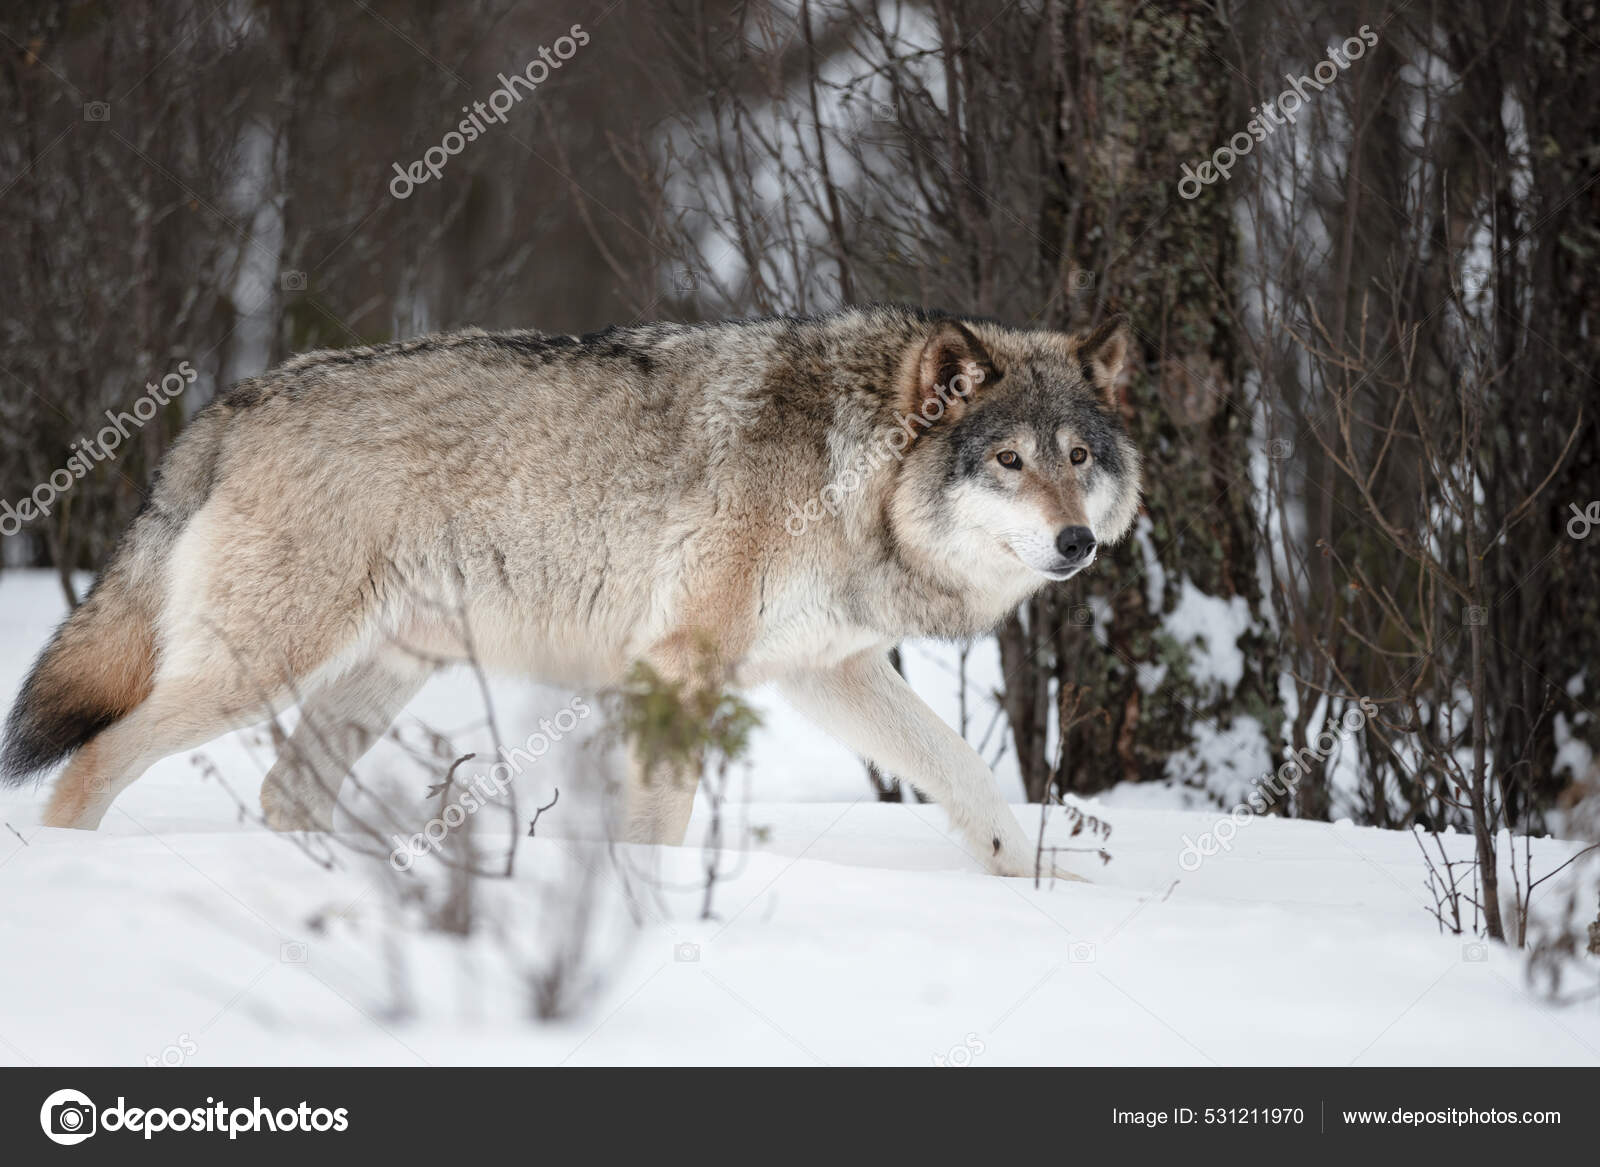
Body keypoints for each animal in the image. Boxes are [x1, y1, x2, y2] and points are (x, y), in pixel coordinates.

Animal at [0, 305, 1141, 876]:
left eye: (1079, 457)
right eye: (1009, 462)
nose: (1077, 542)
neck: (849, 470)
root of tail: (228, 404)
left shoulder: (834, 671)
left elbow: (961, 772)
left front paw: (1032, 875)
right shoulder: (682, 667)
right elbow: (662, 821)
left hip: (378, 678)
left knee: (289, 792)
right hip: (253, 673)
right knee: (94, 761)